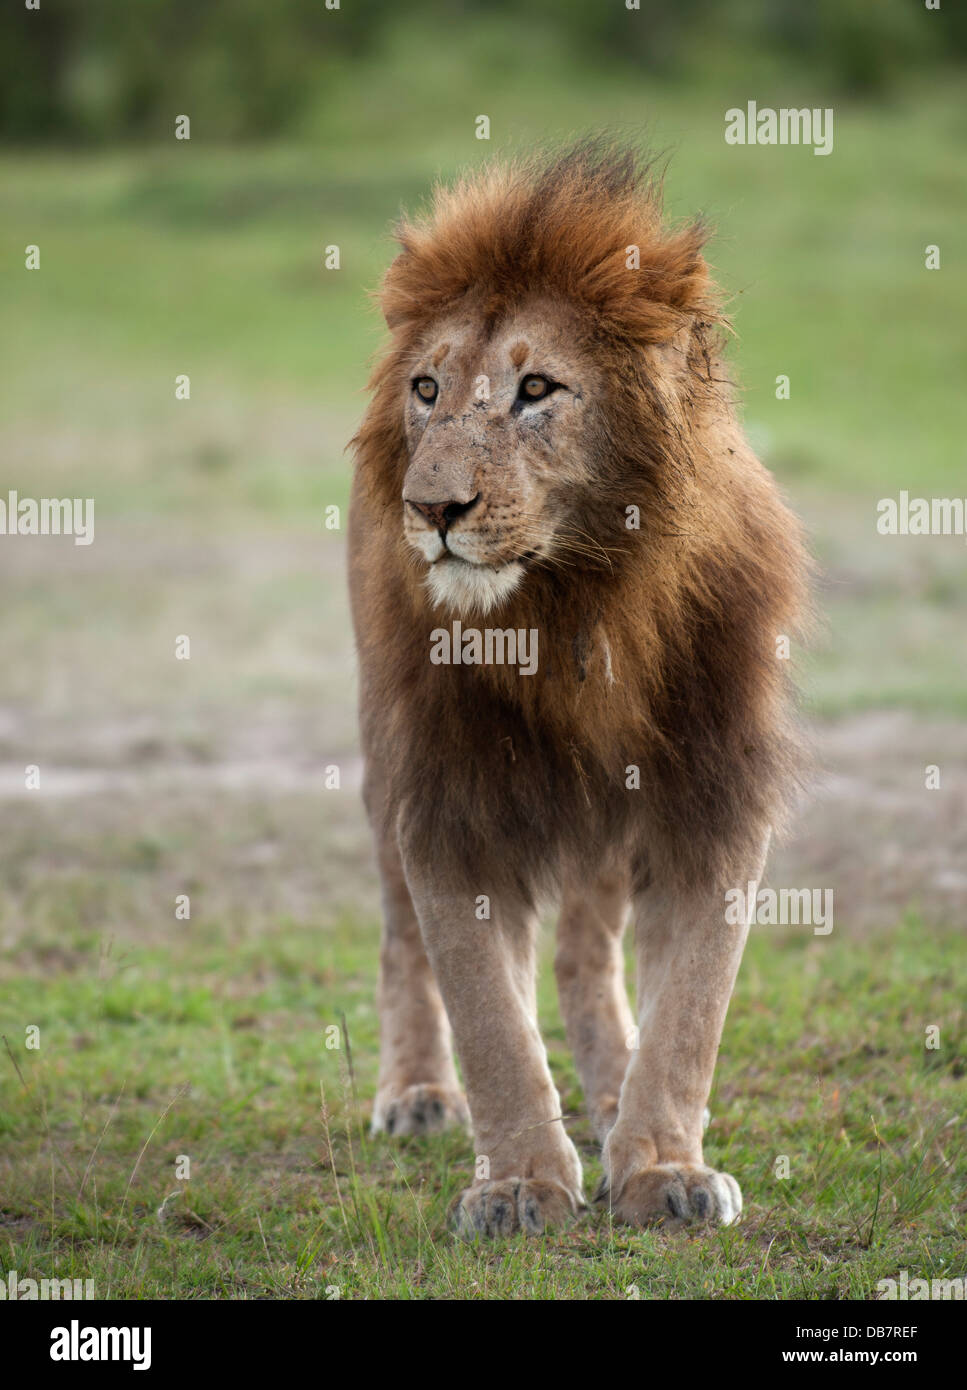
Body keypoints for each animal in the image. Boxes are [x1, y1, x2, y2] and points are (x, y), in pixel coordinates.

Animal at [348, 142, 809, 1236]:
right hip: (383, 757)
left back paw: (608, 1091)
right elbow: (488, 1017)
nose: (429, 508)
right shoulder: (449, 799)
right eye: (427, 387)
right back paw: (418, 1094)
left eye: (536, 389)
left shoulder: (713, 798)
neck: (577, 610)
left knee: (585, 955)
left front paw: (661, 1167)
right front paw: (517, 1182)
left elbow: (691, 1009)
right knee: (402, 942)